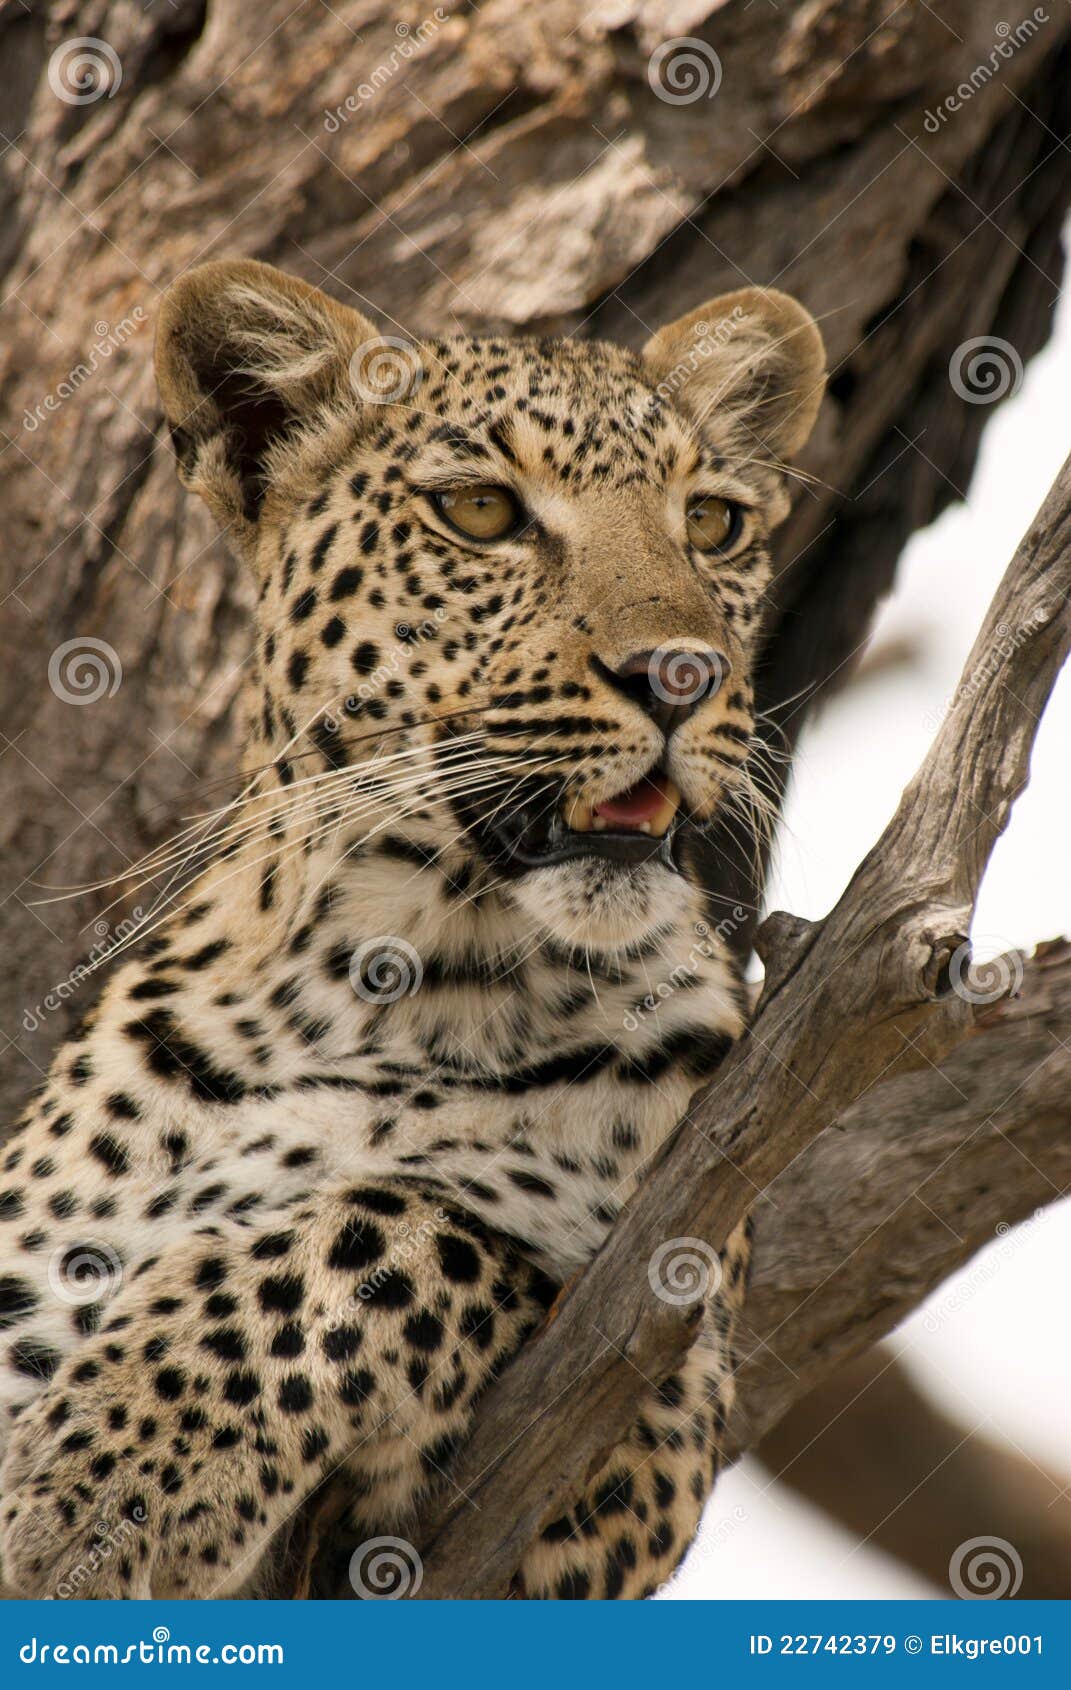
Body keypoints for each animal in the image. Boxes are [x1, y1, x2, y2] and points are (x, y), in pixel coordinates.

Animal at [0, 259, 825, 1600]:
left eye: (713, 525)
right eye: (482, 511)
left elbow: (401, 1224)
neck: (400, 974)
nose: (683, 674)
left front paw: (111, 1477)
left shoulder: (648, 1422)